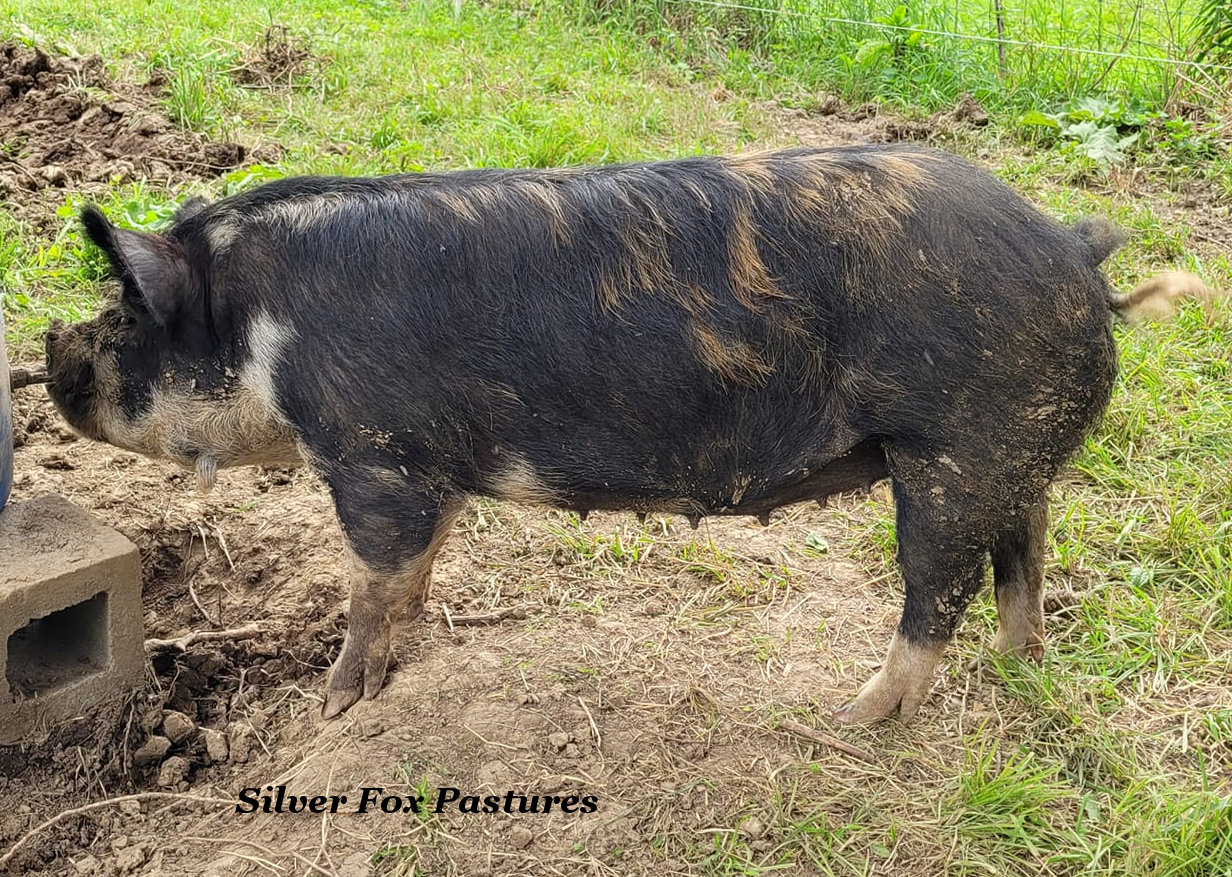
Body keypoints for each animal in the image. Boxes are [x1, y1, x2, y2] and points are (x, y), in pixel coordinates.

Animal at [43, 145, 1203, 723]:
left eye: (125, 323)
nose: (52, 358)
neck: (259, 328)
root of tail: (1073, 248)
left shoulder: (373, 452)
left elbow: (370, 582)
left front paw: (334, 709)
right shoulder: (430, 471)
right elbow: (415, 573)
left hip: (949, 451)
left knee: (940, 589)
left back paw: (852, 715)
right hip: (1009, 452)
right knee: (1025, 552)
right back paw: (1020, 666)